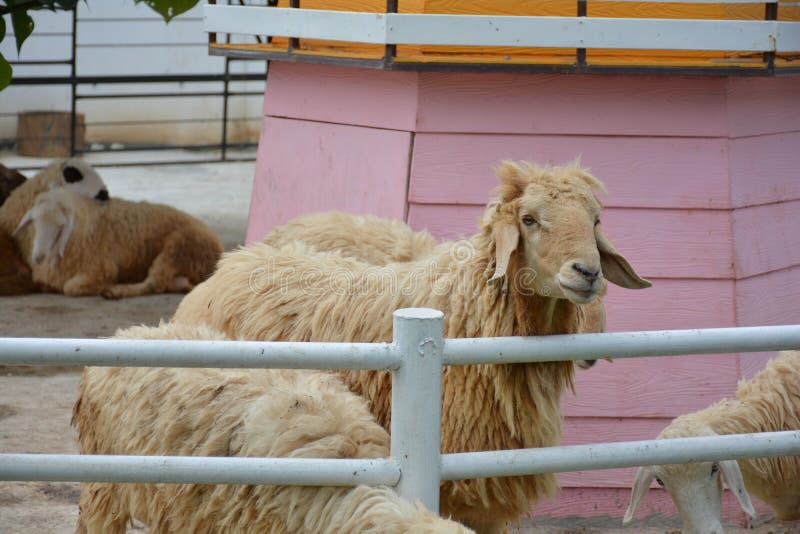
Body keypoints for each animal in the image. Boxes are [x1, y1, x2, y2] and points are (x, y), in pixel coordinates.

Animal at [14, 187, 222, 298]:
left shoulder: (100, 269)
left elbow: (69, 288)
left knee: (153, 284)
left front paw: (103, 286)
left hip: (177, 247)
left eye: (60, 226)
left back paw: (115, 291)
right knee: (168, 284)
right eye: (35, 221)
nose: (38, 257)